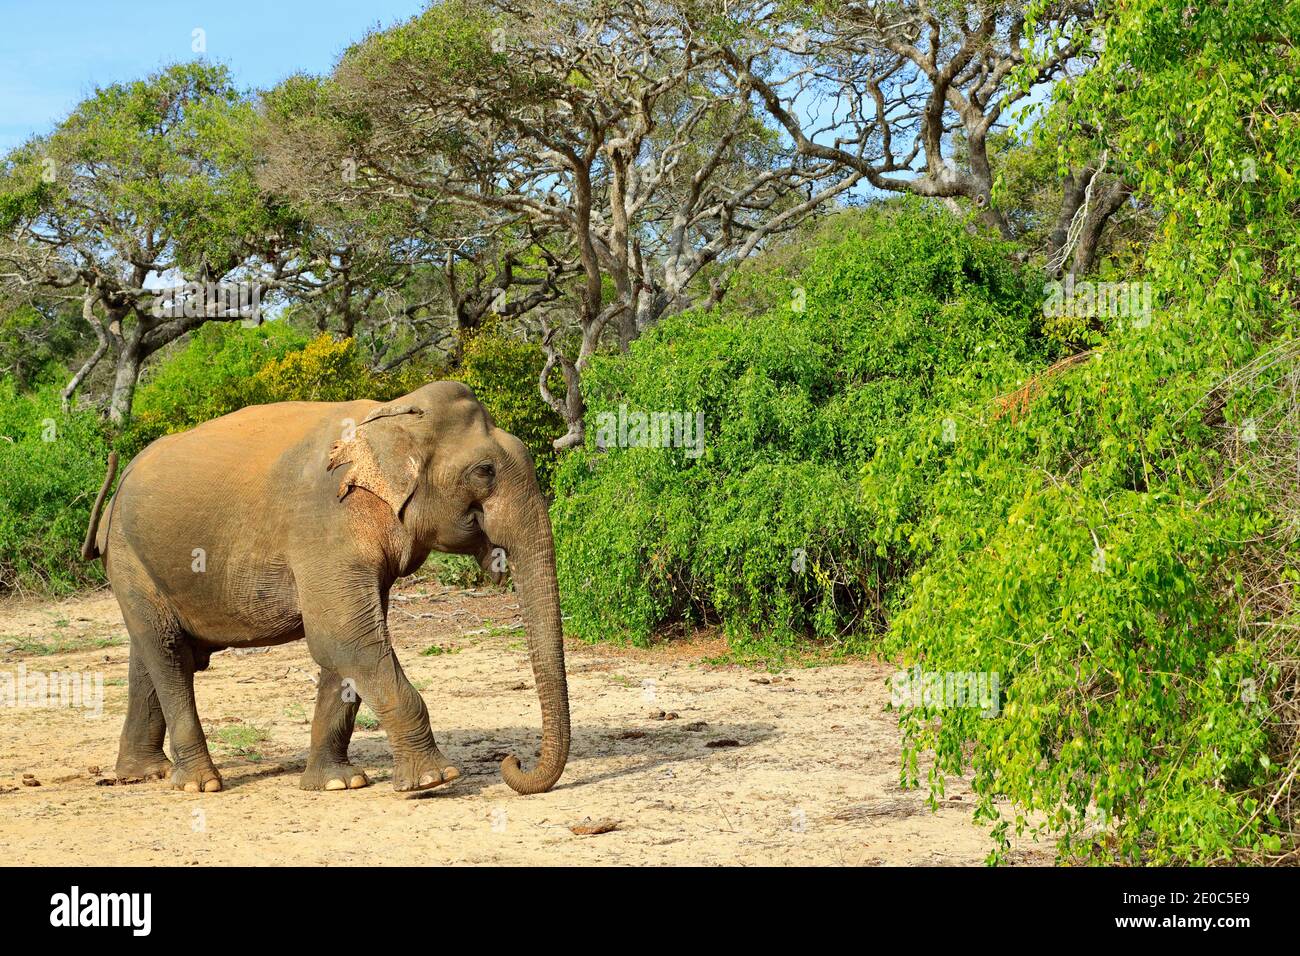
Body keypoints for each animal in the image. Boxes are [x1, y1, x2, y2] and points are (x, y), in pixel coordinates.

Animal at [80, 380, 569, 795]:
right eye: (484, 471)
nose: (513, 762)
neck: (392, 412)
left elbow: (346, 648)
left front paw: (337, 783)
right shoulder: (325, 521)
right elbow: (344, 637)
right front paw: (433, 779)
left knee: (149, 653)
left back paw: (144, 773)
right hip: (128, 556)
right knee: (169, 654)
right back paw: (200, 784)